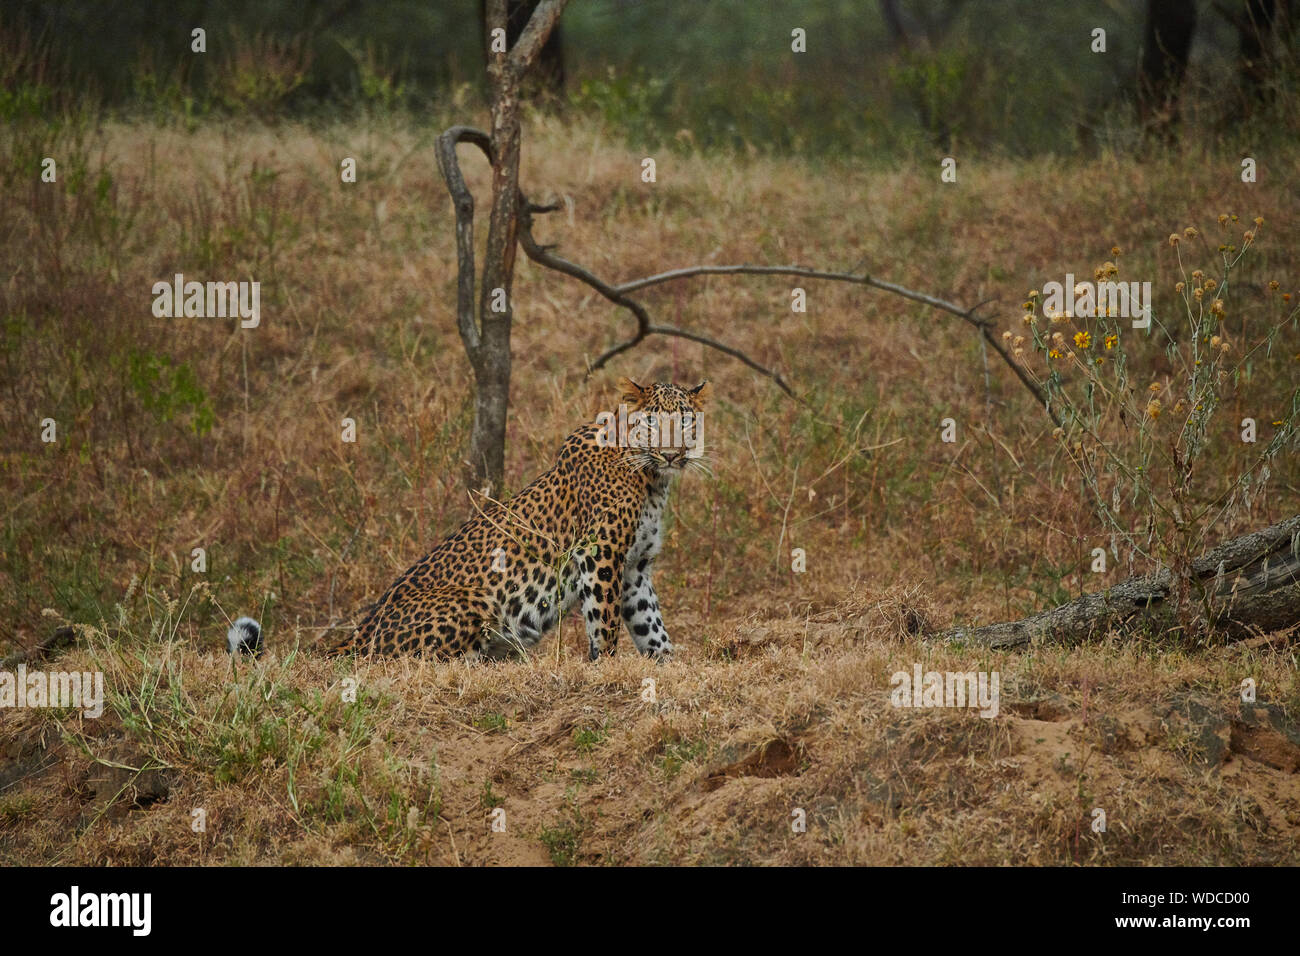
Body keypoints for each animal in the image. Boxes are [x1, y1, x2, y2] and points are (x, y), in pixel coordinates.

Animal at [325, 378, 711, 661]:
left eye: (686, 421)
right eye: (652, 422)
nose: (672, 454)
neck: (653, 480)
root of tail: (354, 636)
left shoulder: (634, 568)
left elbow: (651, 624)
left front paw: (664, 664)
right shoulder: (601, 554)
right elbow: (605, 622)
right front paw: (605, 665)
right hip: (476, 599)